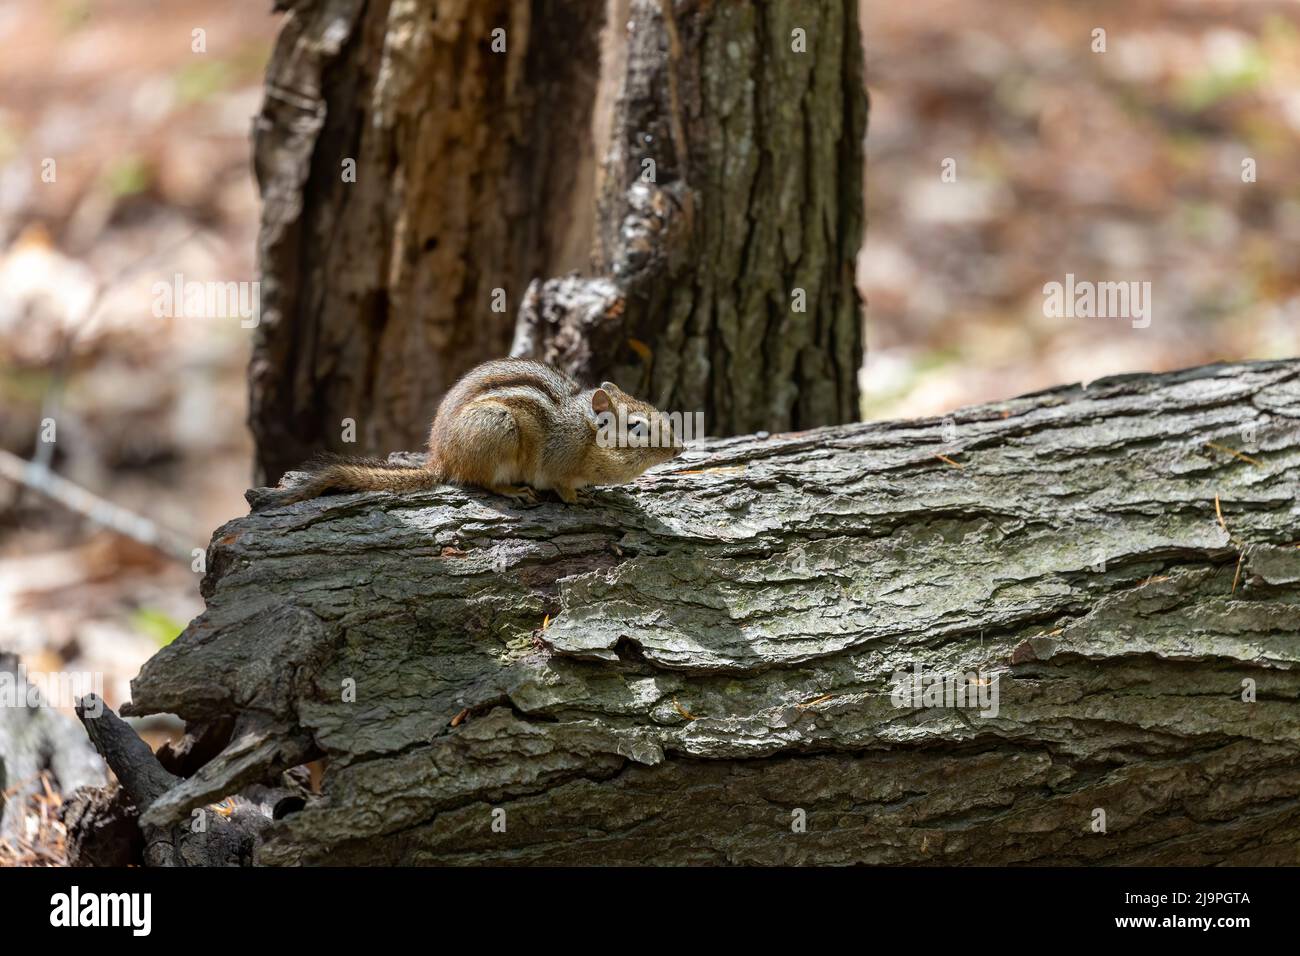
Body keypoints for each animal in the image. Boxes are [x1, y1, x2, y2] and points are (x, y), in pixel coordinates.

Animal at [263, 358, 682, 507]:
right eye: (637, 427)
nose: (678, 448)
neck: (585, 435)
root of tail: (441, 457)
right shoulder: (559, 465)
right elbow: (563, 488)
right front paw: (579, 499)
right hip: (499, 430)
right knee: (480, 481)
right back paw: (513, 491)